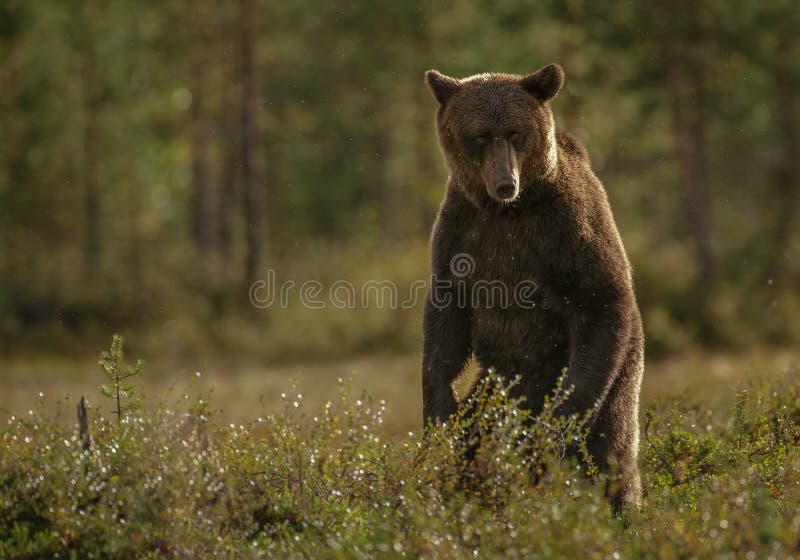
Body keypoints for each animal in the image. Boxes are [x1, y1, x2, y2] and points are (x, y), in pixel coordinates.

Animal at [421, 63, 645, 512]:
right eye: (480, 135)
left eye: (515, 132)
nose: (504, 182)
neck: (508, 211)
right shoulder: (461, 228)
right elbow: (446, 315)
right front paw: (439, 410)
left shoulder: (567, 225)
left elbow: (600, 298)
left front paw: (559, 422)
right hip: (495, 388)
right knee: (478, 439)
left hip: (615, 371)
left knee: (611, 449)